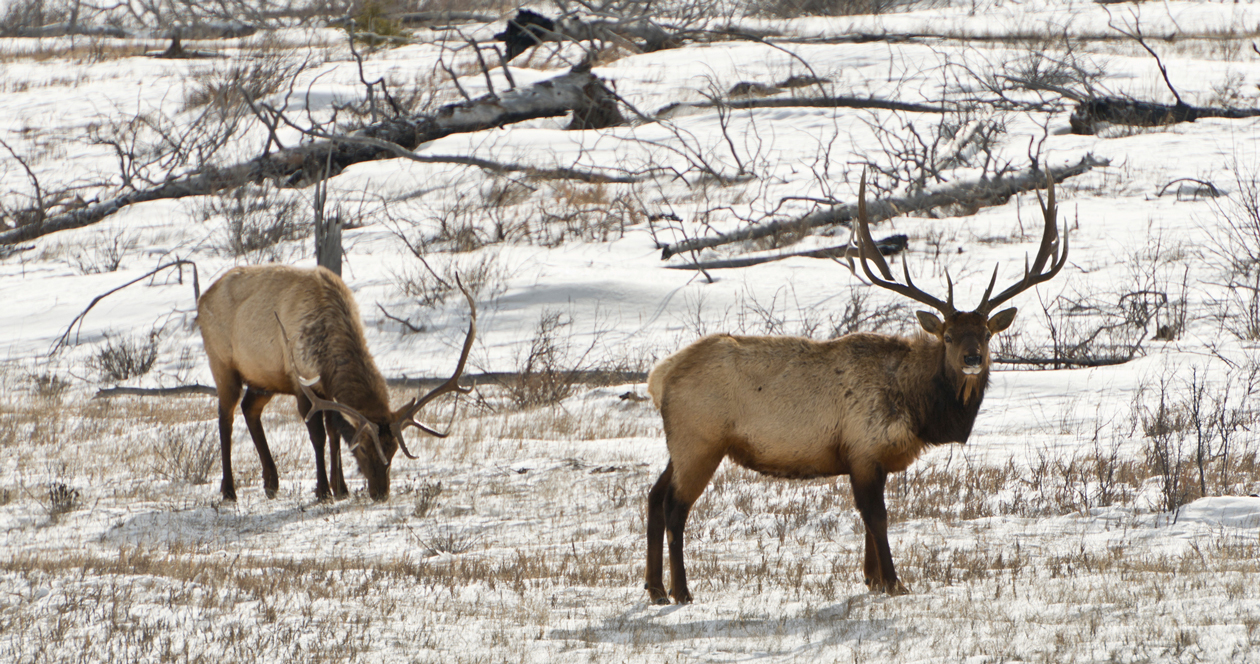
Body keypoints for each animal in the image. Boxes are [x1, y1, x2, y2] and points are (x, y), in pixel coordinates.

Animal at [196, 264, 475, 502]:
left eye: (394, 450)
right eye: (362, 449)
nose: (381, 493)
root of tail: (202, 299)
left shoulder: (327, 392)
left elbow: (334, 432)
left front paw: (341, 488)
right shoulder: (302, 385)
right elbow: (318, 436)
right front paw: (323, 491)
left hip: (263, 377)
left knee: (249, 409)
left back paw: (271, 483)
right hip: (221, 363)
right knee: (225, 418)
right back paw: (229, 490)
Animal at [644, 175, 1067, 604]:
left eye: (985, 333)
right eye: (948, 336)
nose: (972, 358)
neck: (919, 408)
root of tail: (659, 376)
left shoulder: (868, 457)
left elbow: (867, 519)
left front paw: (872, 578)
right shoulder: (863, 448)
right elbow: (876, 516)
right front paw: (894, 581)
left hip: (682, 444)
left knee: (654, 496)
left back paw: (655, 587)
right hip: (701, 439)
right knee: (675, 506)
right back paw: (682, 591)